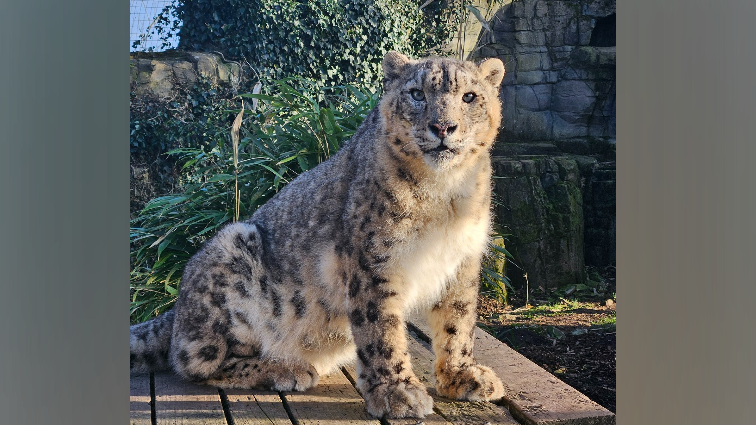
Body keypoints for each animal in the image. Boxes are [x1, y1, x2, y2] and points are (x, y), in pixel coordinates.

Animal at [130, 51, 506, 419]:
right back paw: (286, 368)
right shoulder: (375, 260)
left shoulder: (463, 259)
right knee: (193, 360)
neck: (446, 195)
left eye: (469, 97)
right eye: (417, 94)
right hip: (231, 256)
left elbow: (458, 320)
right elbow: (381, 328)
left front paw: (462, 375)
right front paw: (397, 392)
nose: (443, 126)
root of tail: (176, 311)